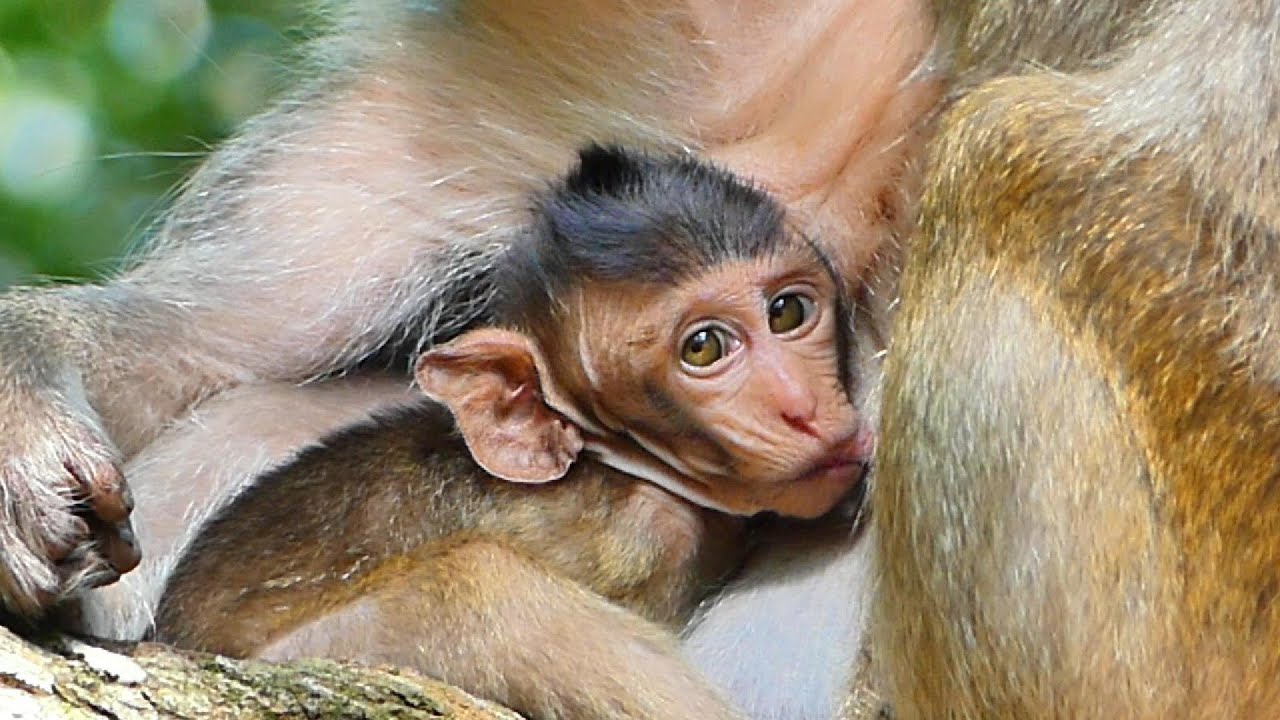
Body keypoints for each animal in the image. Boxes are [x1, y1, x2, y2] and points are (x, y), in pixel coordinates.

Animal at [151, 144, 870, 720]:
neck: (623, 464)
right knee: (483, 588)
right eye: (703, 348)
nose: (803, 406)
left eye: (788, 311)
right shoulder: (641, 533)